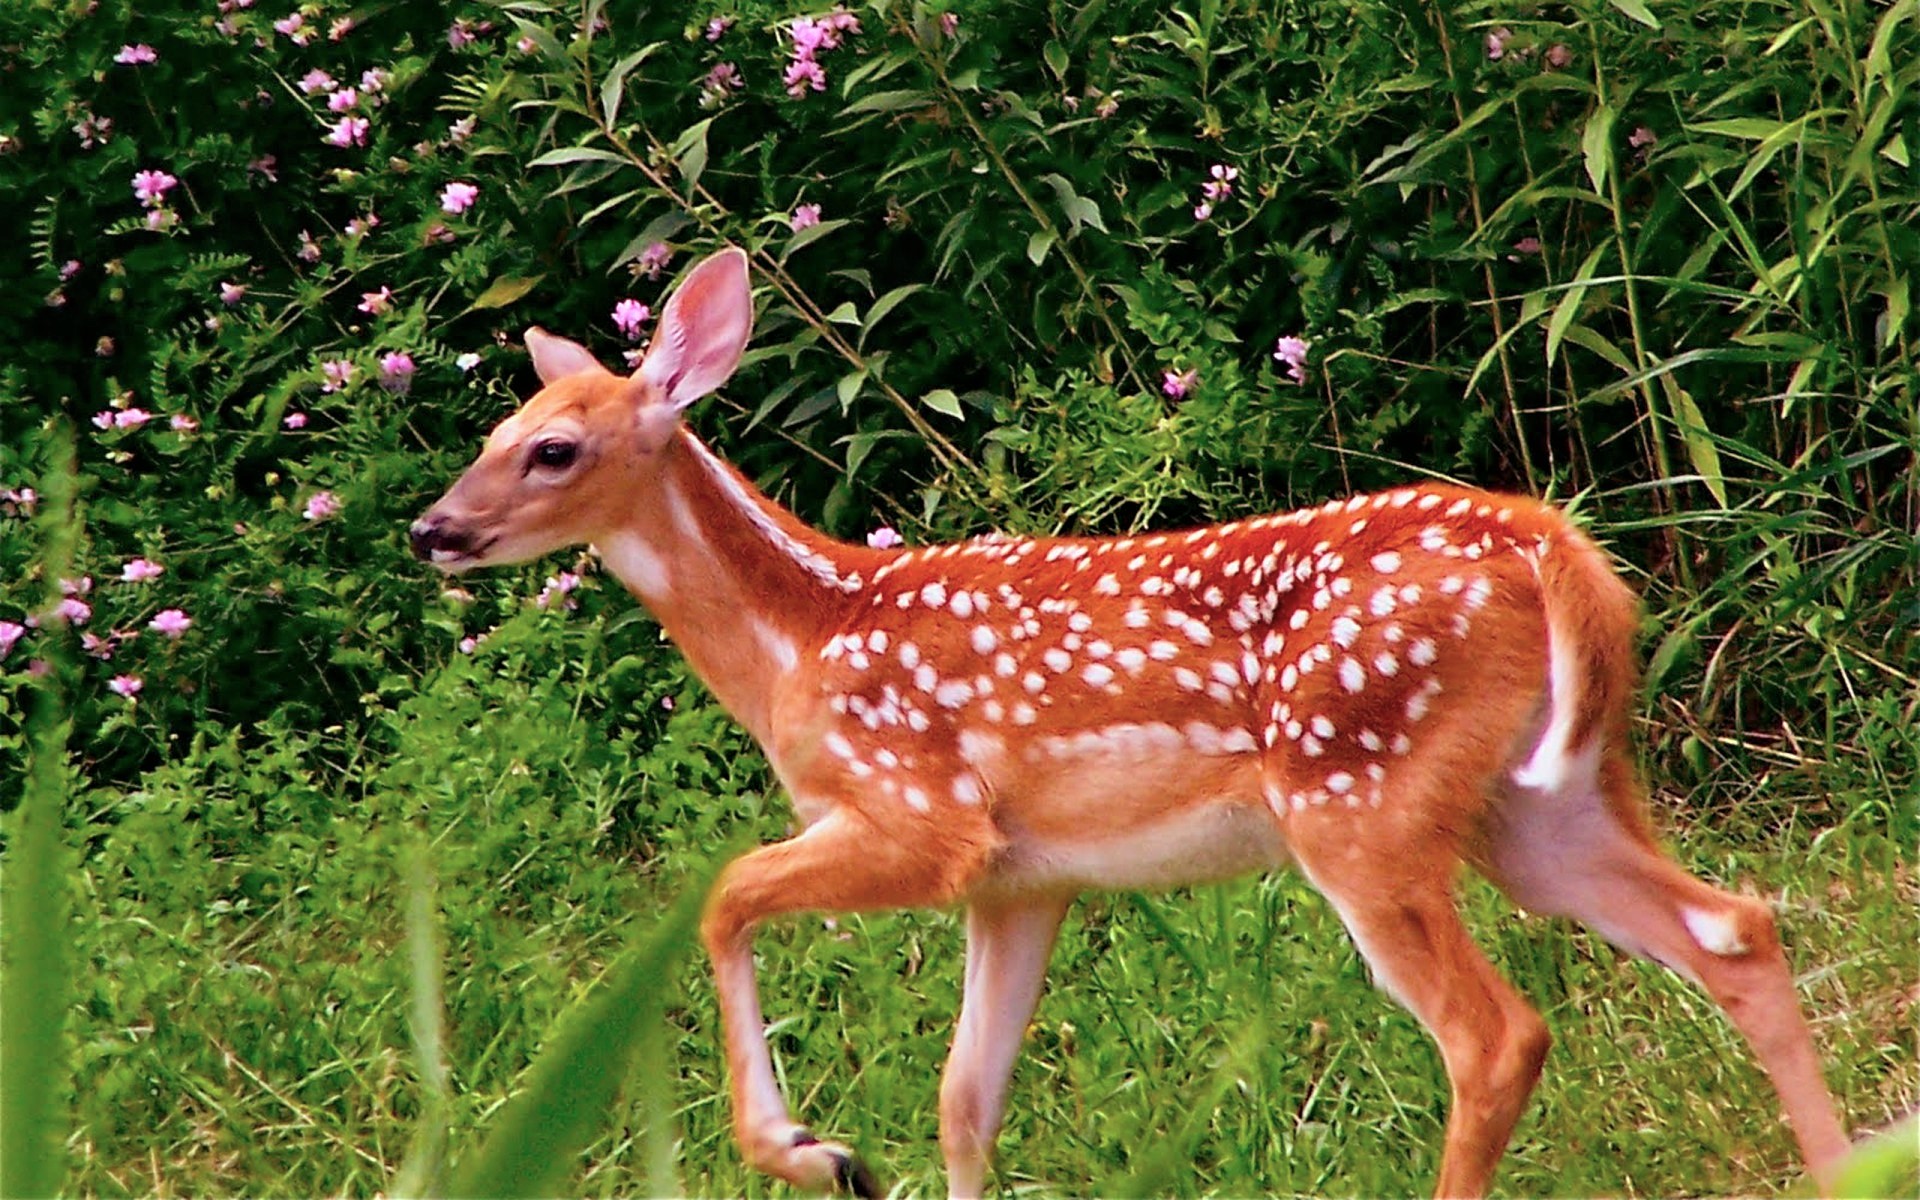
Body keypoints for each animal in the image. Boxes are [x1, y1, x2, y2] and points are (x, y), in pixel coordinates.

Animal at [409, 247, 1852, 1199]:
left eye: (552, 448)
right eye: (494, 430)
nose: (433, 529)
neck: (803, 642)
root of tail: (1553, 546)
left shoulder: (924, 816)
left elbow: (720, 897)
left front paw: (809, 1151)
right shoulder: (1020, 881)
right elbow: (965, 1100)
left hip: (1359, 794)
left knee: (1495, 1038)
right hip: (1538, 796)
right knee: (1733, 927)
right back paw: (1847, 1167)